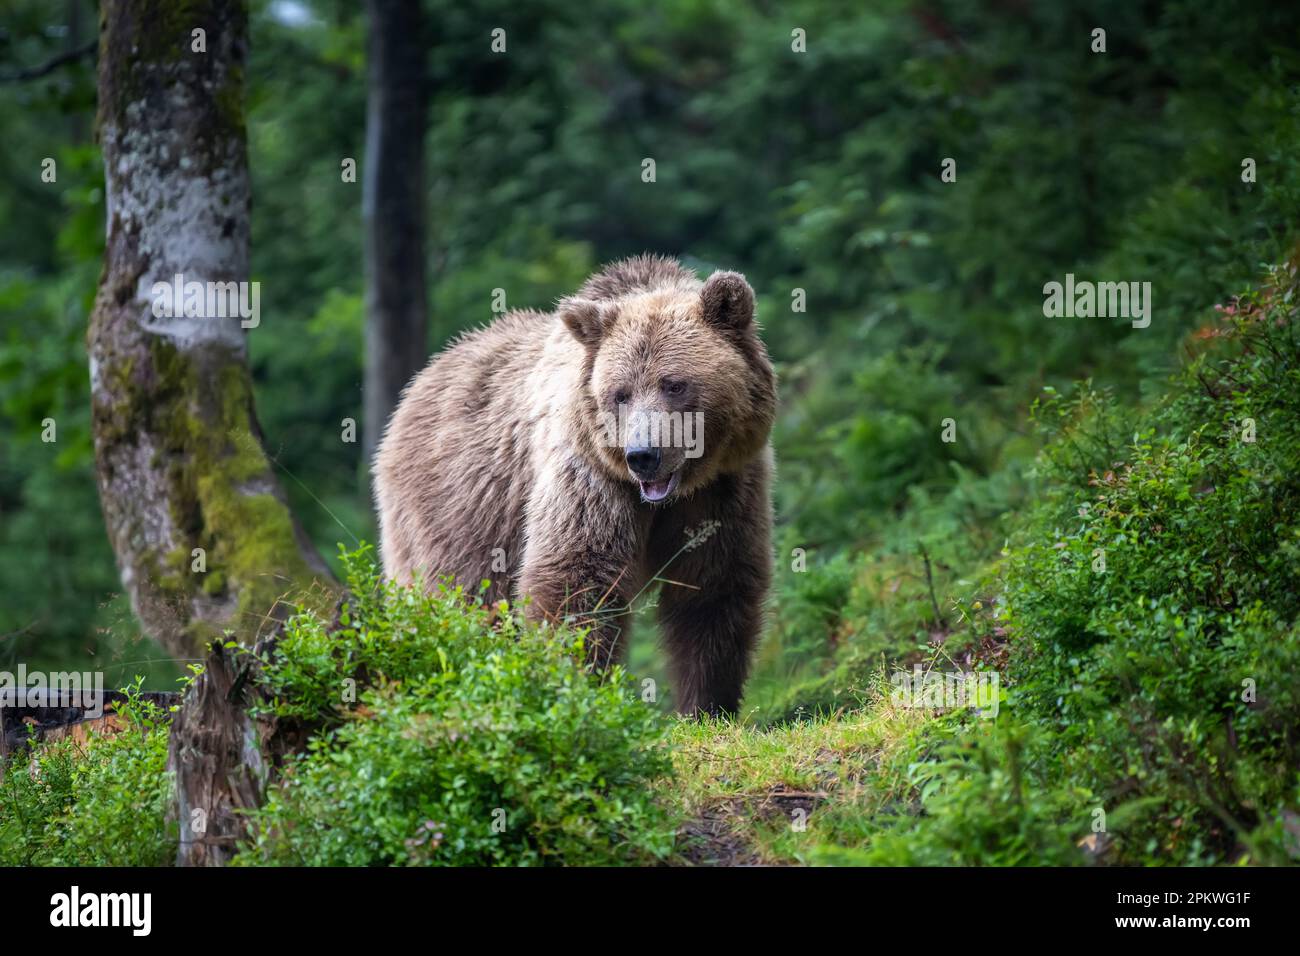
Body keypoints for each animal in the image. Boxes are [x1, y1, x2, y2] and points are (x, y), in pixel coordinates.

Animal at [372, 255, 776, 716]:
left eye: (674, 384)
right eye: (620, 393)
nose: (643, 455)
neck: (669, 497)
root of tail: (417, 384)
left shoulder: (725, 487)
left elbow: (713, 587)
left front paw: (707, 707)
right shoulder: (590, 476)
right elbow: (576, 578)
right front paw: (578, 690)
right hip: (457, 509)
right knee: (460, 598)